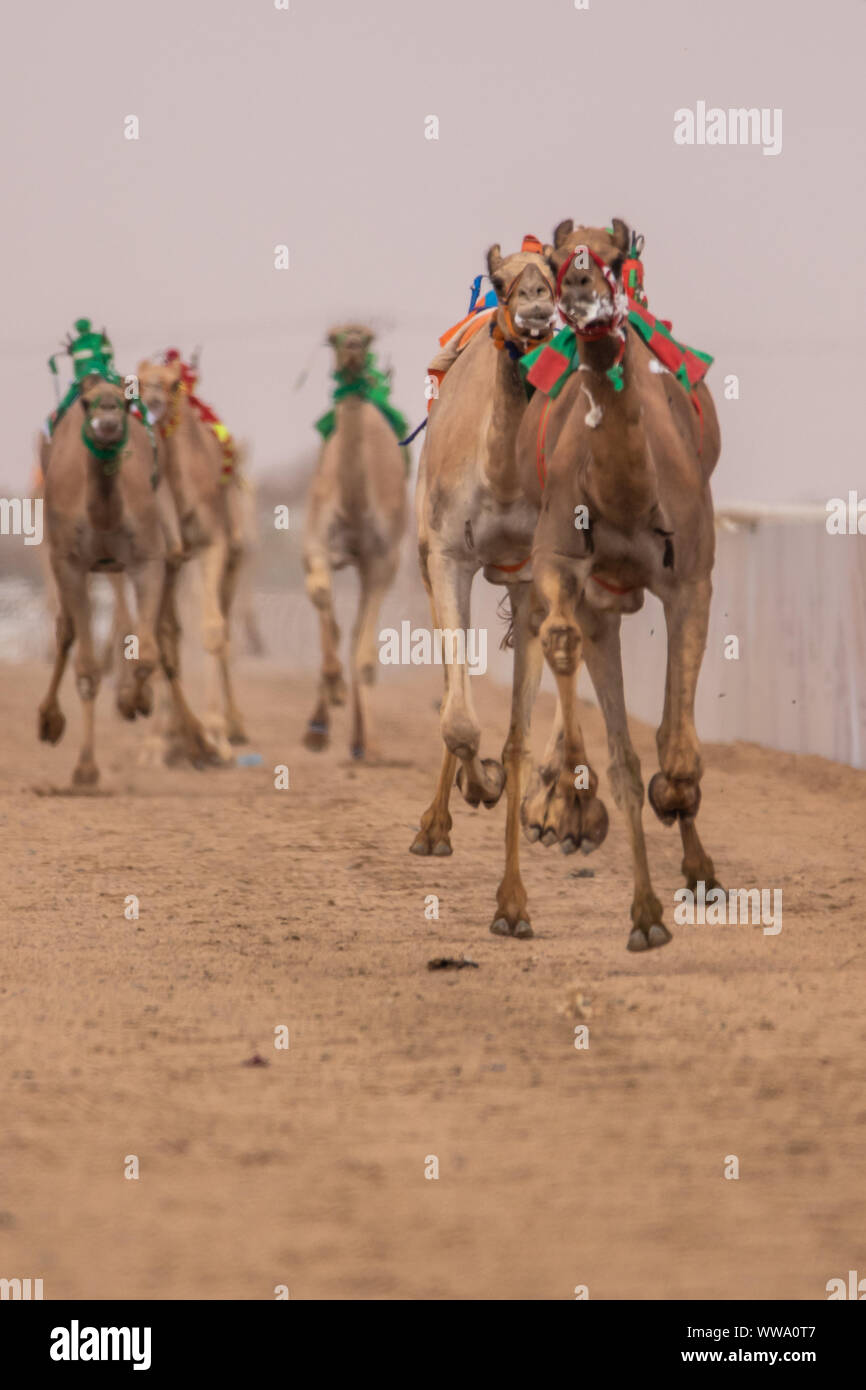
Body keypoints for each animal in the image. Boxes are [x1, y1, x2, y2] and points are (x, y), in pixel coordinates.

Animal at [38, 373, 215, 785]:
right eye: (86, 403)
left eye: (125, 400)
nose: (107, 423)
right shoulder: (70, 563)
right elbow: (87, 666)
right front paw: (85, 767)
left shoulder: (147, 558)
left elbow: (149, 651)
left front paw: (136, 700)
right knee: (66, 630)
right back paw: (49, 722)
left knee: (163, 637)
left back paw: (198, 742)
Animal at [137, 354, 249, 757]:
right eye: (135, 382)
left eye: (173, 384)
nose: (151, 408)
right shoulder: (165, 558)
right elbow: (161, 637)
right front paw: (157, 742)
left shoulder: (214, 544)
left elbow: (213, 630)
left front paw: (215, 733)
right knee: (169, 634)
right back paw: (172, 734)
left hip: (235, 559)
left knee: (225, 626)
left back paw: (231, 728)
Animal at [515, 217, 722, 951]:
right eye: (556, 258)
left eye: (613, 254)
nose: (578, 285)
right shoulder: (562, 558)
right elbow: (561, 642)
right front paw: (573, 814)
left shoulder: (692, 575)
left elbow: (677, 750)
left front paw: (677, 806)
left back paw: (698, 874)